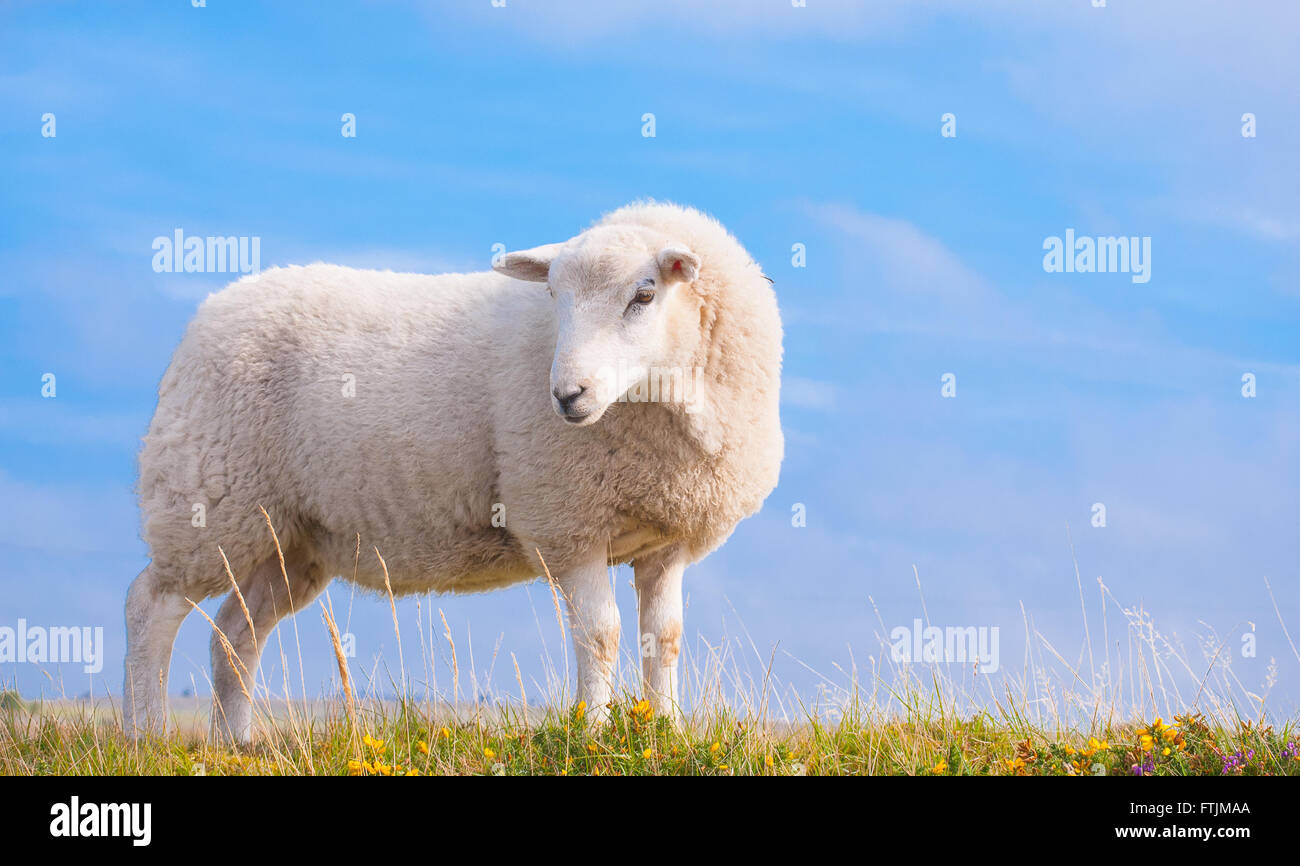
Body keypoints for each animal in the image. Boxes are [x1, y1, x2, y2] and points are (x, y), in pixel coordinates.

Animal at [124, 201, 784, 742]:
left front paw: (663, 731)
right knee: (151, 604)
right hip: (208, 497)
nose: (567, 396)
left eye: (644, 295)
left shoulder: (666, 541)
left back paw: (235, 741)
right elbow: (600, 634)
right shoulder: (566, 524)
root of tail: (207, 314)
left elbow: (663, 638)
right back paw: (147, 734)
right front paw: (596, 735)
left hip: (291, 537)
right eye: (554, 297)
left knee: (236, 630)